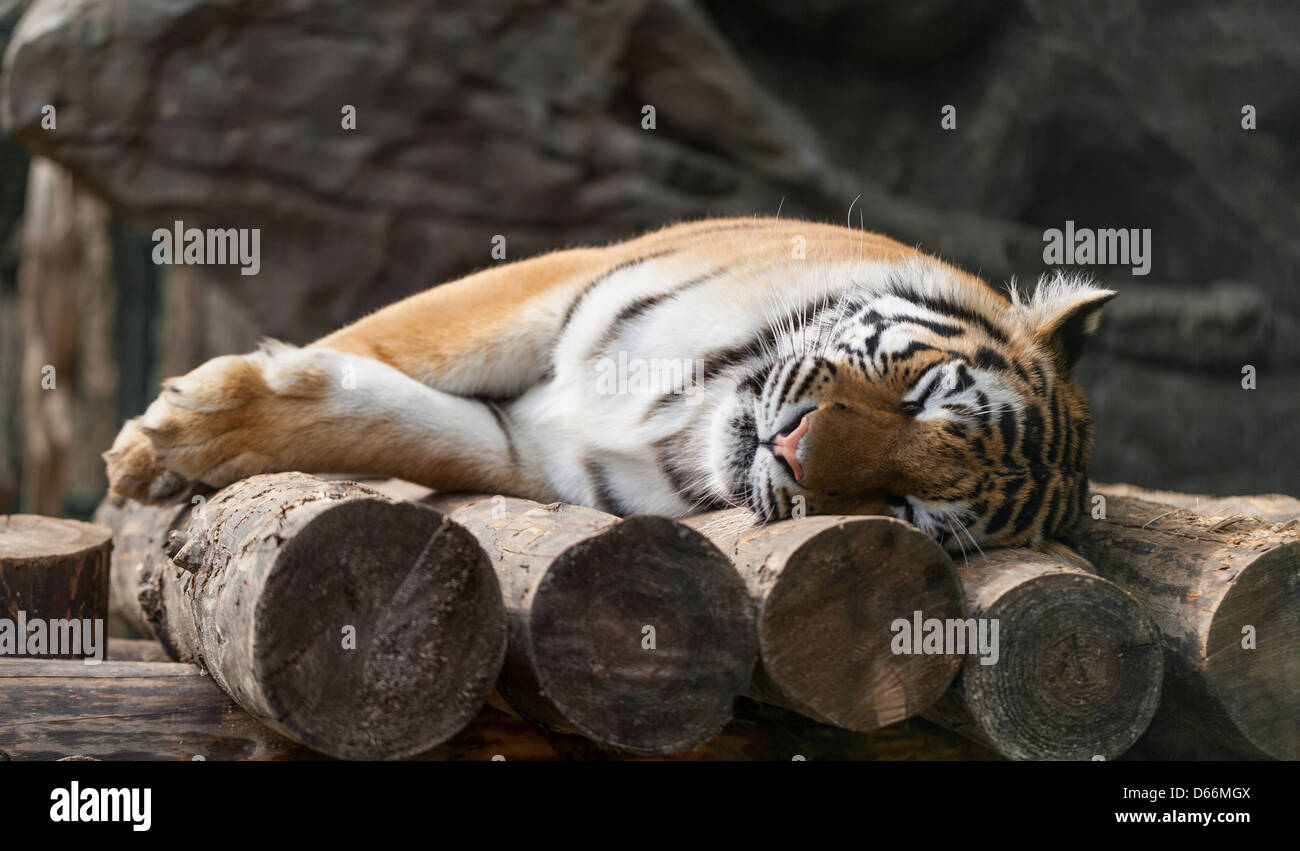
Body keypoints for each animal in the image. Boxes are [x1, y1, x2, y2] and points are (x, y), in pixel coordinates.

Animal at [104, 217, 1114, 553]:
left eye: (906, 509)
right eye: (923, 394)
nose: (794, 449)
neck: (692, 409)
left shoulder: (534, 455)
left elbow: (389, 424)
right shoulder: (563, 282)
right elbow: (386, 342)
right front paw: (159, 444)